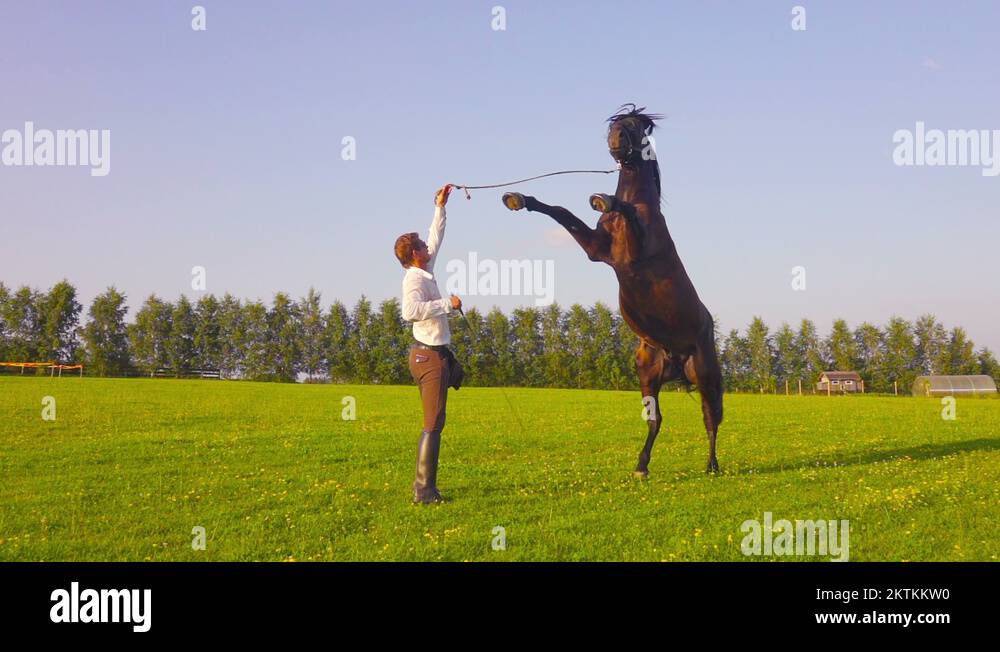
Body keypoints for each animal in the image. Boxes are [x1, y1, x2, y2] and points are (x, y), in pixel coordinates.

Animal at [501, 104, 724, 475]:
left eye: (636, 126)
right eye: (615, 124)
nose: (616, 141)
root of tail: (676, 358)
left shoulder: (632, 256)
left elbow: (624, 211)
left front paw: (602, 199)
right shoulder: (597, 251)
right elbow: (560, 211)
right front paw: (517, 198)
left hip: (705, 370)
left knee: (711, 417)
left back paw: (712, 466)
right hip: (648, 373)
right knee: (656, 420)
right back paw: (641, 467)